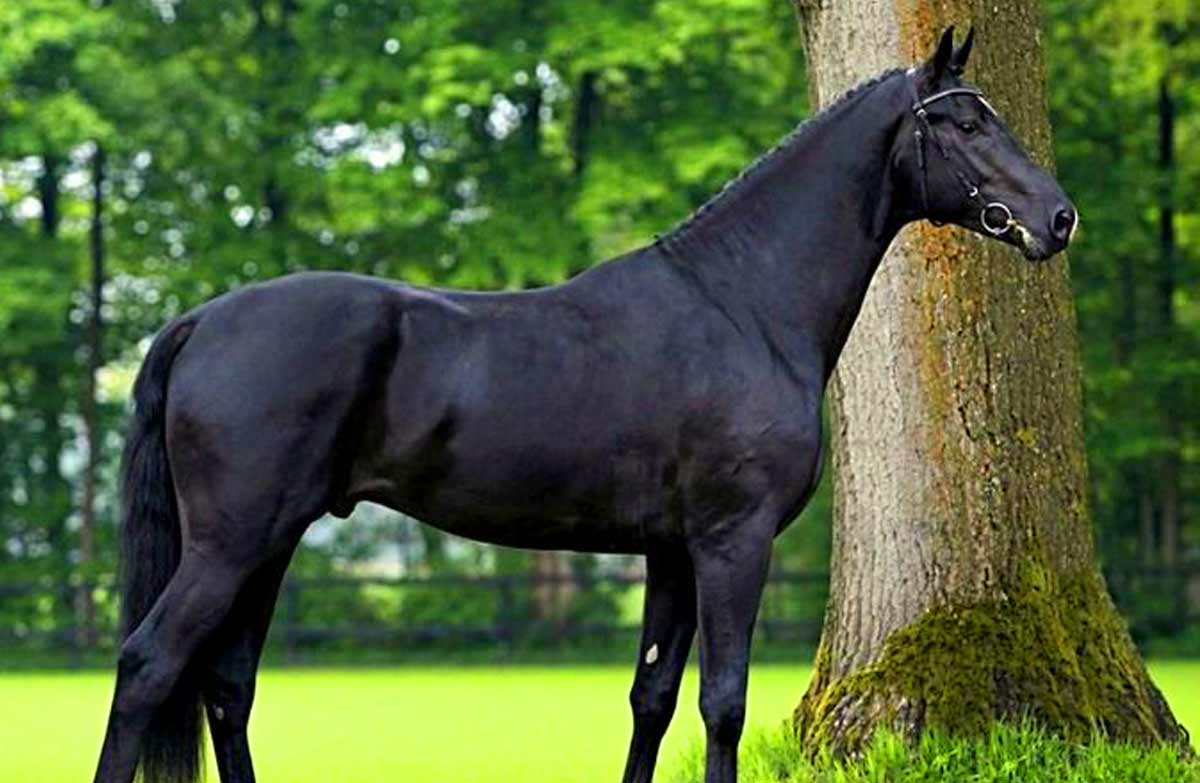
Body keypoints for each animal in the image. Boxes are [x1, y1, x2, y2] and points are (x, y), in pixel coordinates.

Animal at [94, 27, 1075, 783]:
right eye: (964, 123)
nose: (1058, 217)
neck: (743, 302)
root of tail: (202, 320)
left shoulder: (670, 553)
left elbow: (652, 697)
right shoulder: (733, 541)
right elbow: (723, 701)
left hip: (272, 542)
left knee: (226, 684)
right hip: (232, 543)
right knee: (149, 664)